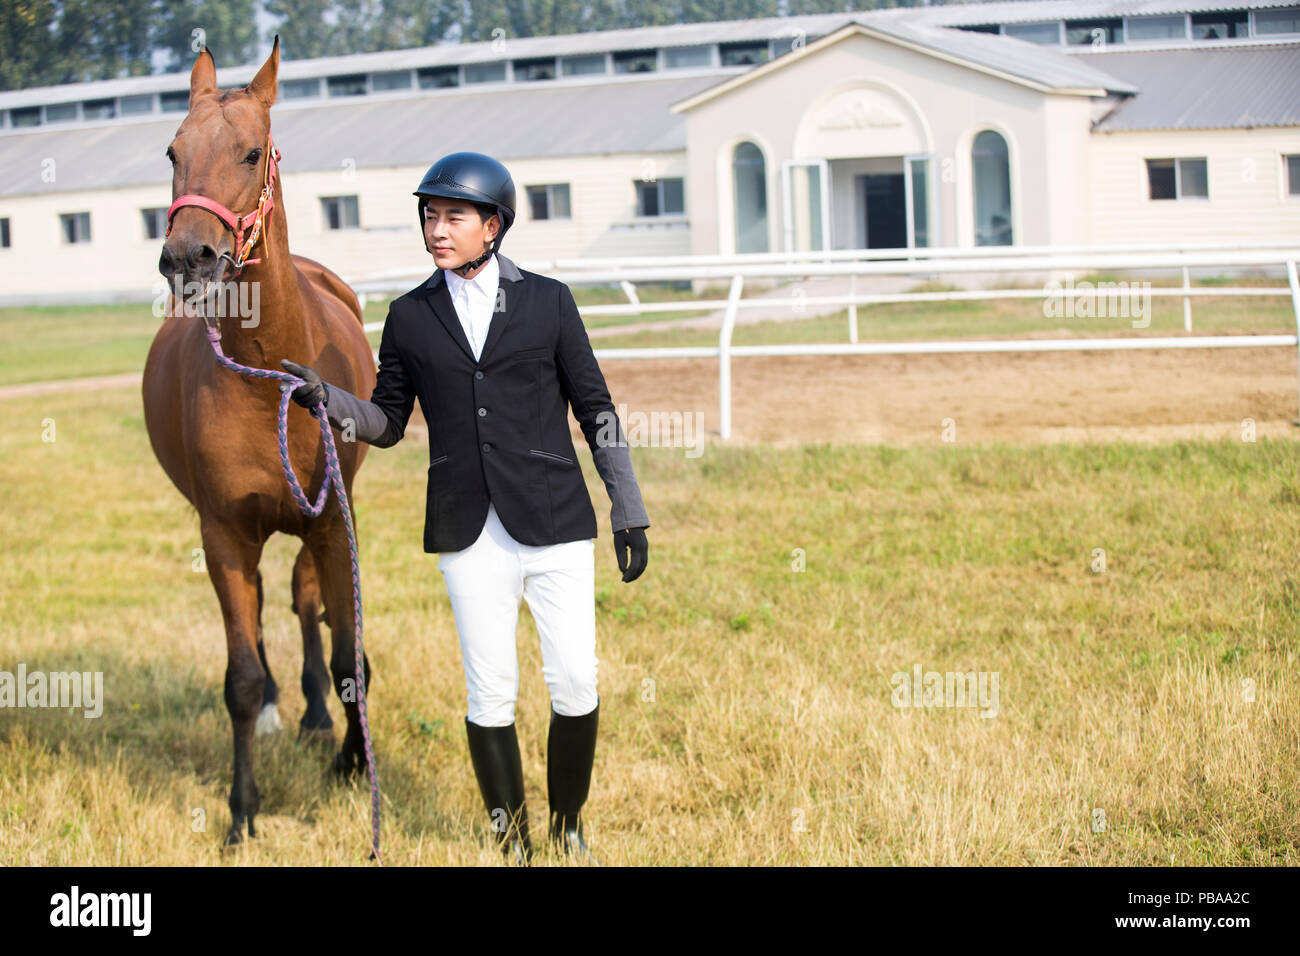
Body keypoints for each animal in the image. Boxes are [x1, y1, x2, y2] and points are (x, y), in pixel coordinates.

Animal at [142, 37, 378, 846]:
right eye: (173, 151)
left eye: (251, 152)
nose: (188, 258)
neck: (270, 377)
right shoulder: (223, 535)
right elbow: (240, 681)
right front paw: (242, 810)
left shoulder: (333, 520)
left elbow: (349, 657)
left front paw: (352, 764)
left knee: (307, 603)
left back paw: (314, 718)